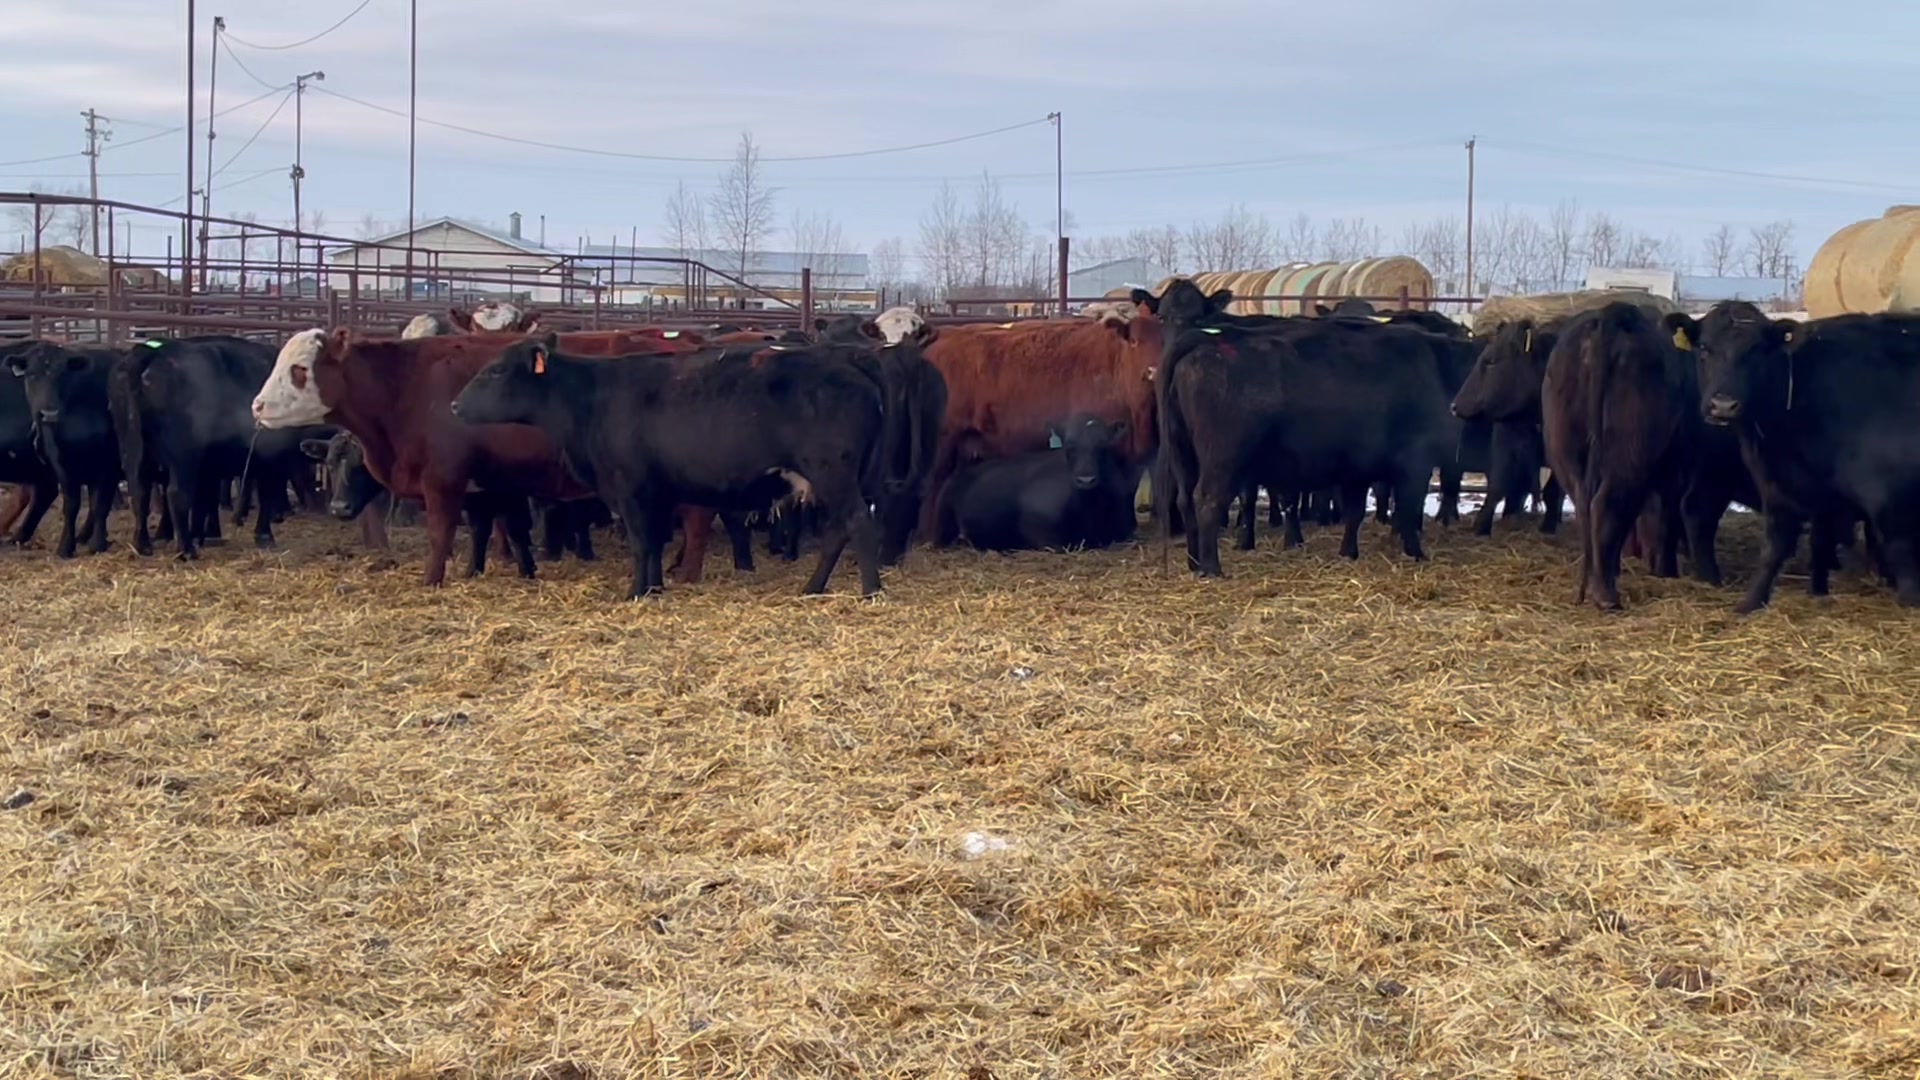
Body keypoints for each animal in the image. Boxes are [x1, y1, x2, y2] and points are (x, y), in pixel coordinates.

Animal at [7, 342, 123, 558]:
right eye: (31, 374)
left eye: (62, 374)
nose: (49, 413)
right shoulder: (62, 464)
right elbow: (71, 505)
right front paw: (66, 546)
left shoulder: (108, 464)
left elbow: (100, 504)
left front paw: (98, 544)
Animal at [449, 334, 896, 600]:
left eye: (495, 370)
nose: (454, 405)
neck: (590, 398)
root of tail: (849, 362)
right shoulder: (654, 492)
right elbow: (653, 540)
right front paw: (654, 587)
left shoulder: (628, 487)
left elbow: (640, 541)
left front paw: (634, 592)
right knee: (839, 529)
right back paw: (812, 587)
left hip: (832, 472)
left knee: (858, 523)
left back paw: (870, 592)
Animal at [1671, 302, 1920, 610]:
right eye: (1704, 348)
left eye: (1757, 350)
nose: (1723, 405)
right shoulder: (1783, 488)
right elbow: (1778, 548)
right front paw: (1751, 603)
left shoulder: (1883, 494)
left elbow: (1896, 549)